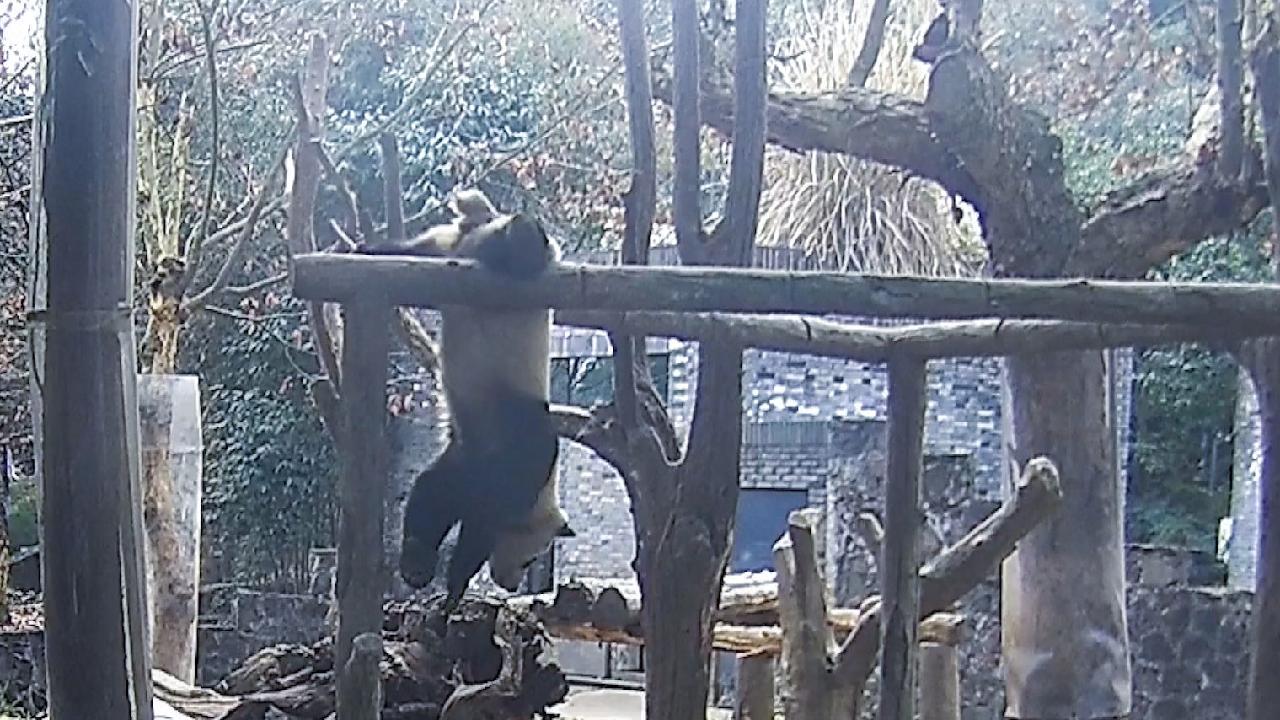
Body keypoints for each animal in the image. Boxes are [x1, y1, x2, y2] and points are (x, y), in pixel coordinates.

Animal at [356, 189, 574, 608]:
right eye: (531, 559)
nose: (510, 585)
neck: (542, 491)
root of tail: (480, 224)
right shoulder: (521, 453)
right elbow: (478, 518)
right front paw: (449, 580)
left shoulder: (469, 450)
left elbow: (436, 491)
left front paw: (423, 566)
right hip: (513, 251)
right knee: (524, 243)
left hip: (442, 247)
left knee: (413, 252)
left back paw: (368, 249)